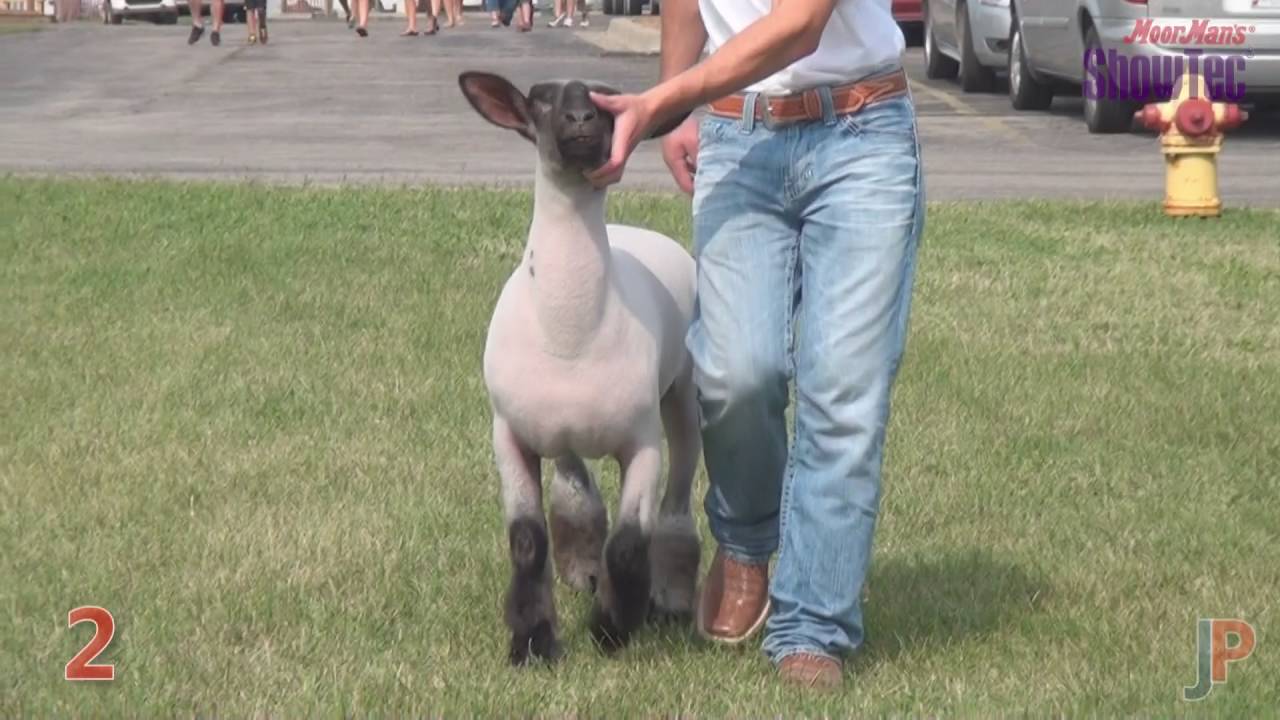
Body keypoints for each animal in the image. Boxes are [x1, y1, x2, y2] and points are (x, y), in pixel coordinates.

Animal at [457, 71, 702, 665]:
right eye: (541, 100)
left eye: (606, 100)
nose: (580, 121)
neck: (570, 334)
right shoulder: (508, 433)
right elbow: (527, 540)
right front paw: (532, 641)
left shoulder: (642, 442)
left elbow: (630, 544)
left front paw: (612, 629)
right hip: (559, 428)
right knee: (576, 490)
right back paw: (581, 571)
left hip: (683, 397)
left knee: (677, 506)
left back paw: (669, 599)